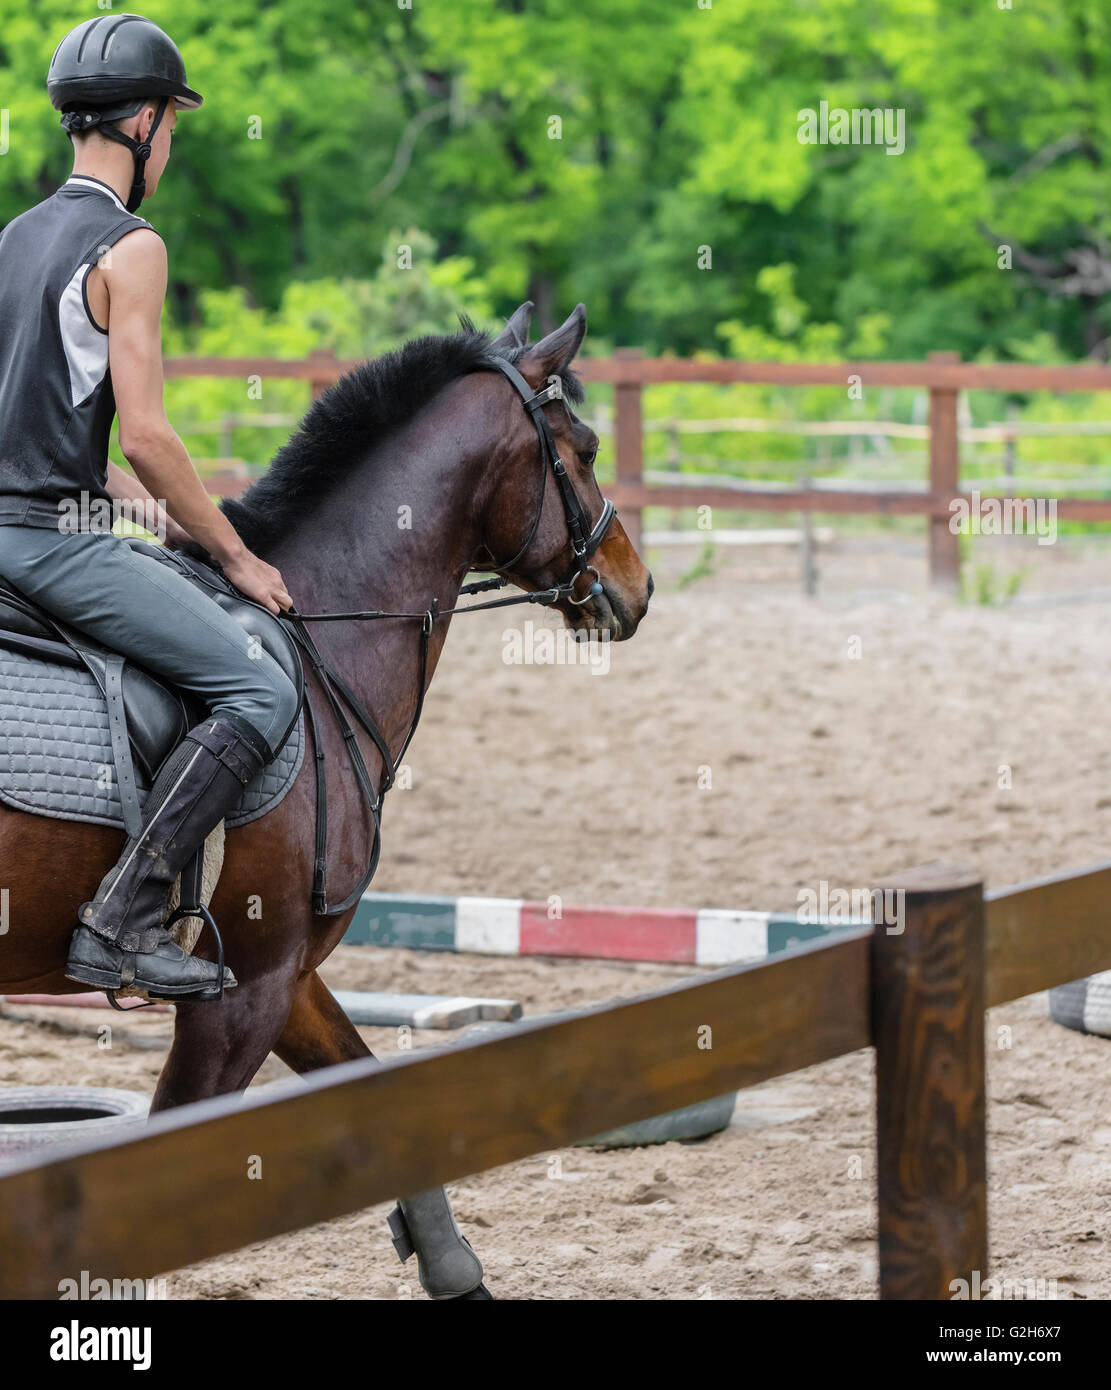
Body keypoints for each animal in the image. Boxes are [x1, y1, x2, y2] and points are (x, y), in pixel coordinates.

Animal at [0, 301, 652, 1294]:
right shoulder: (241, 991)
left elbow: (383, 1102)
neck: (320, 632)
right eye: (579, 449)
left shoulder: (286, 976)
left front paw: (453, 1267)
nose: (635, 586)